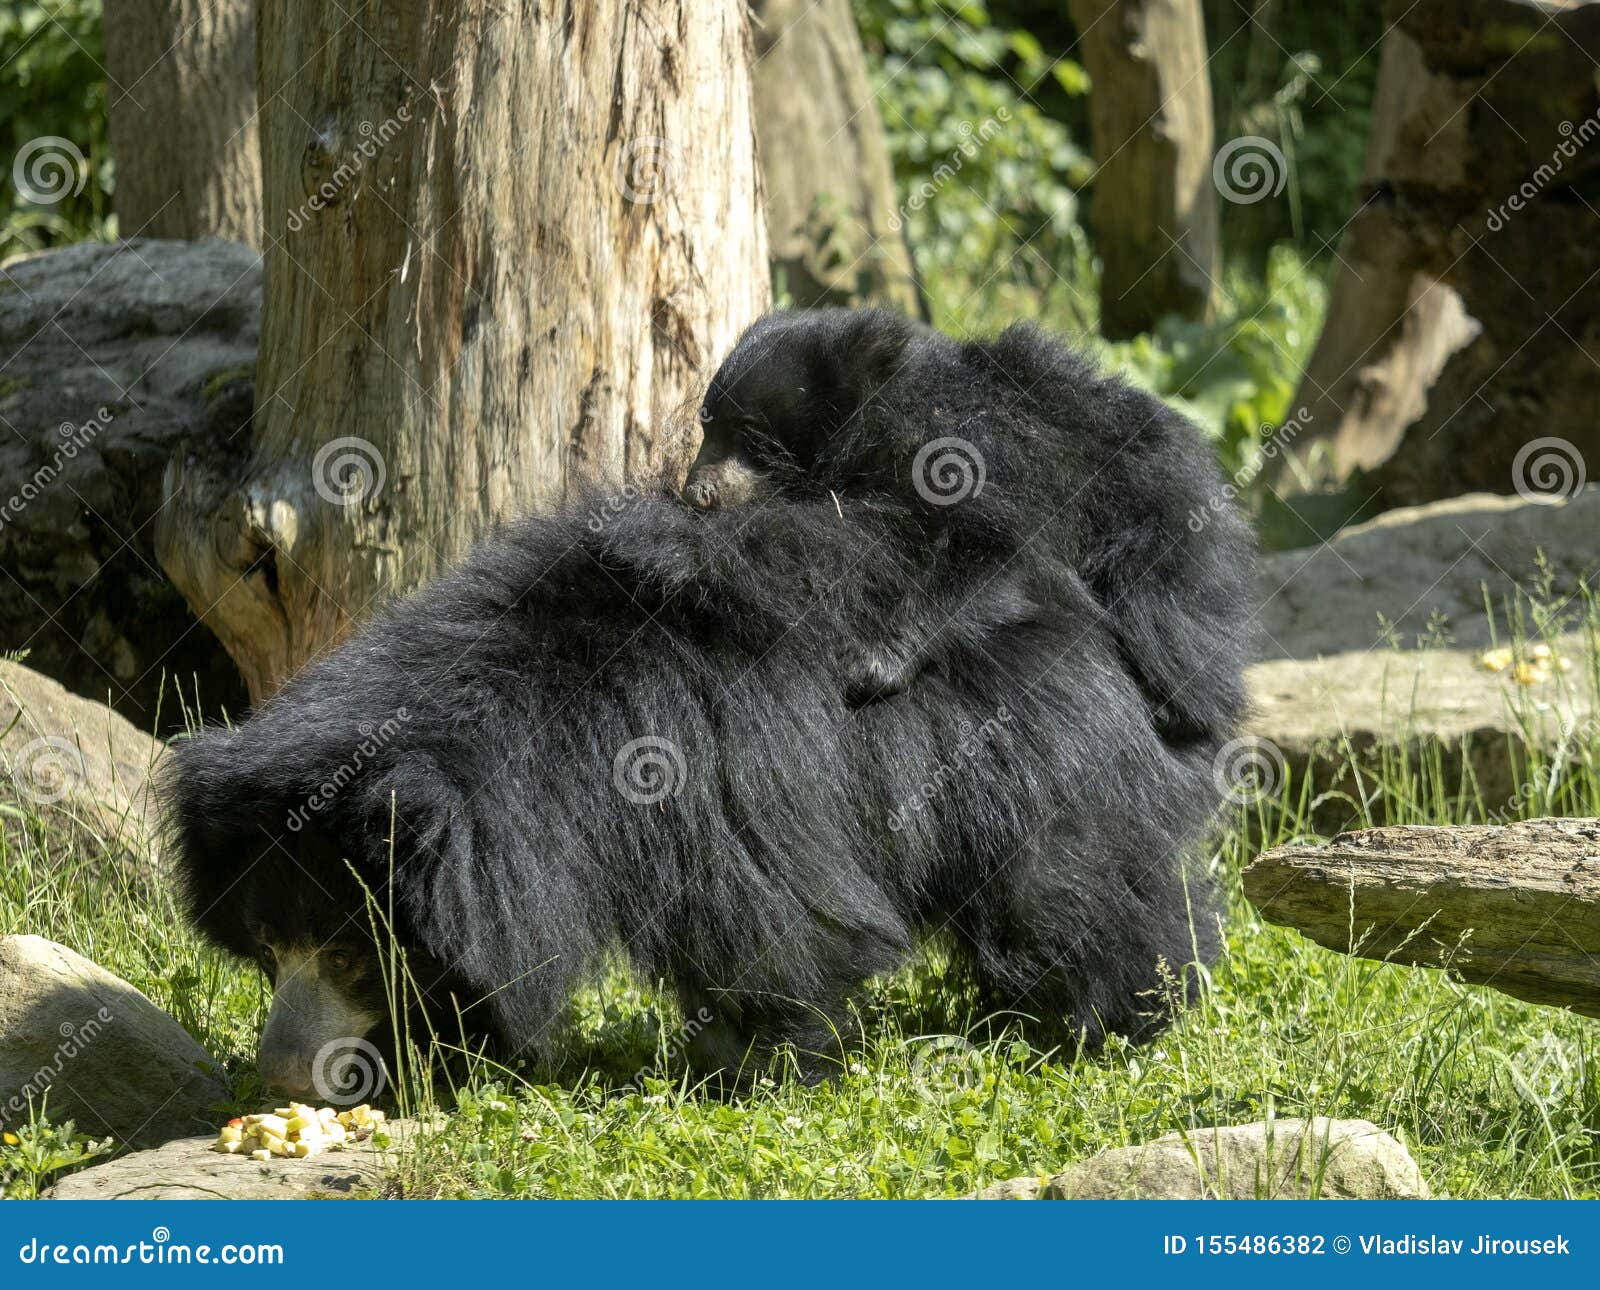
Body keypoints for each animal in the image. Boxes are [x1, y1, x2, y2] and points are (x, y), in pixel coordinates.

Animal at [165, 309, 1253, 1100]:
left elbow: (780, 920)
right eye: (265, 945)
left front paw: (751, 1071)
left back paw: (1116, 1016)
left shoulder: (698, 770)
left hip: (1038, 739)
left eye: (353, 950)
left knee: (1077, 885)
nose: (281, 1075)